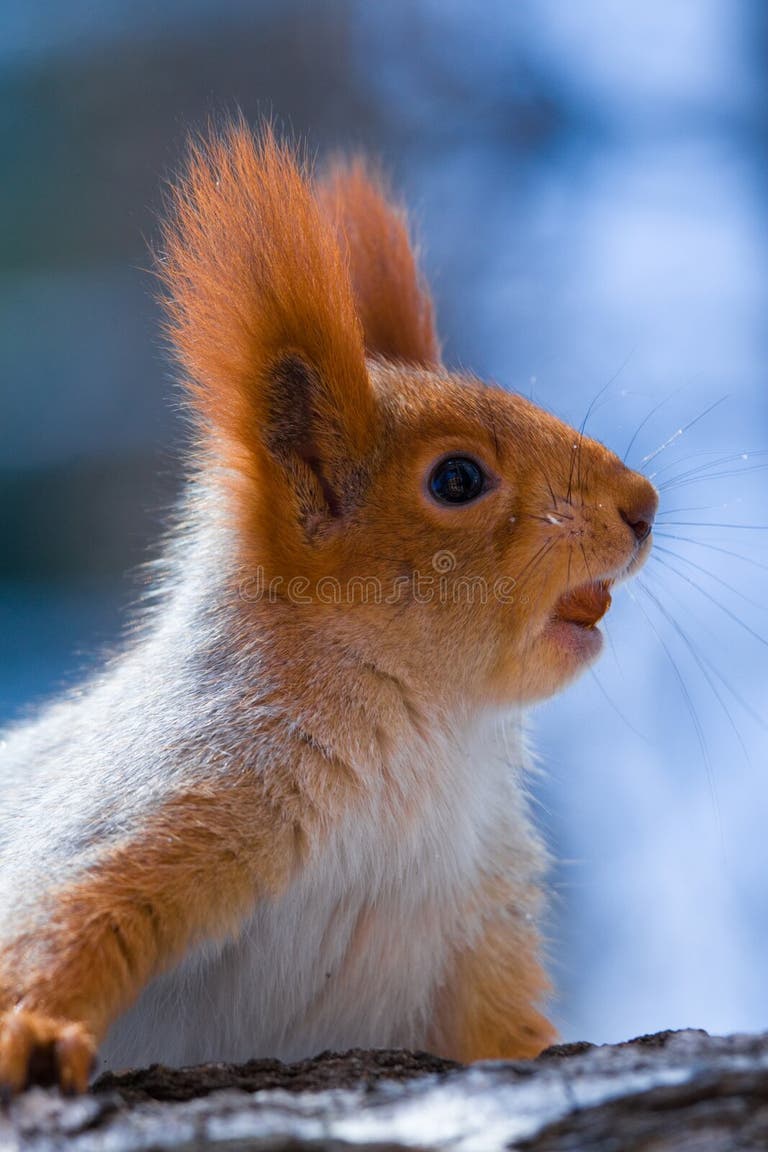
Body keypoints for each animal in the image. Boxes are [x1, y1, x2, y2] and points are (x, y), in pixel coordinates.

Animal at [0, 122, 657, 1094]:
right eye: (456, 479)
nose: (644, 505)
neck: (430, 743)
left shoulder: (483, 924)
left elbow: (510, 1030)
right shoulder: (167, 789)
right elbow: (66, 913)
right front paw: (31, 1028)